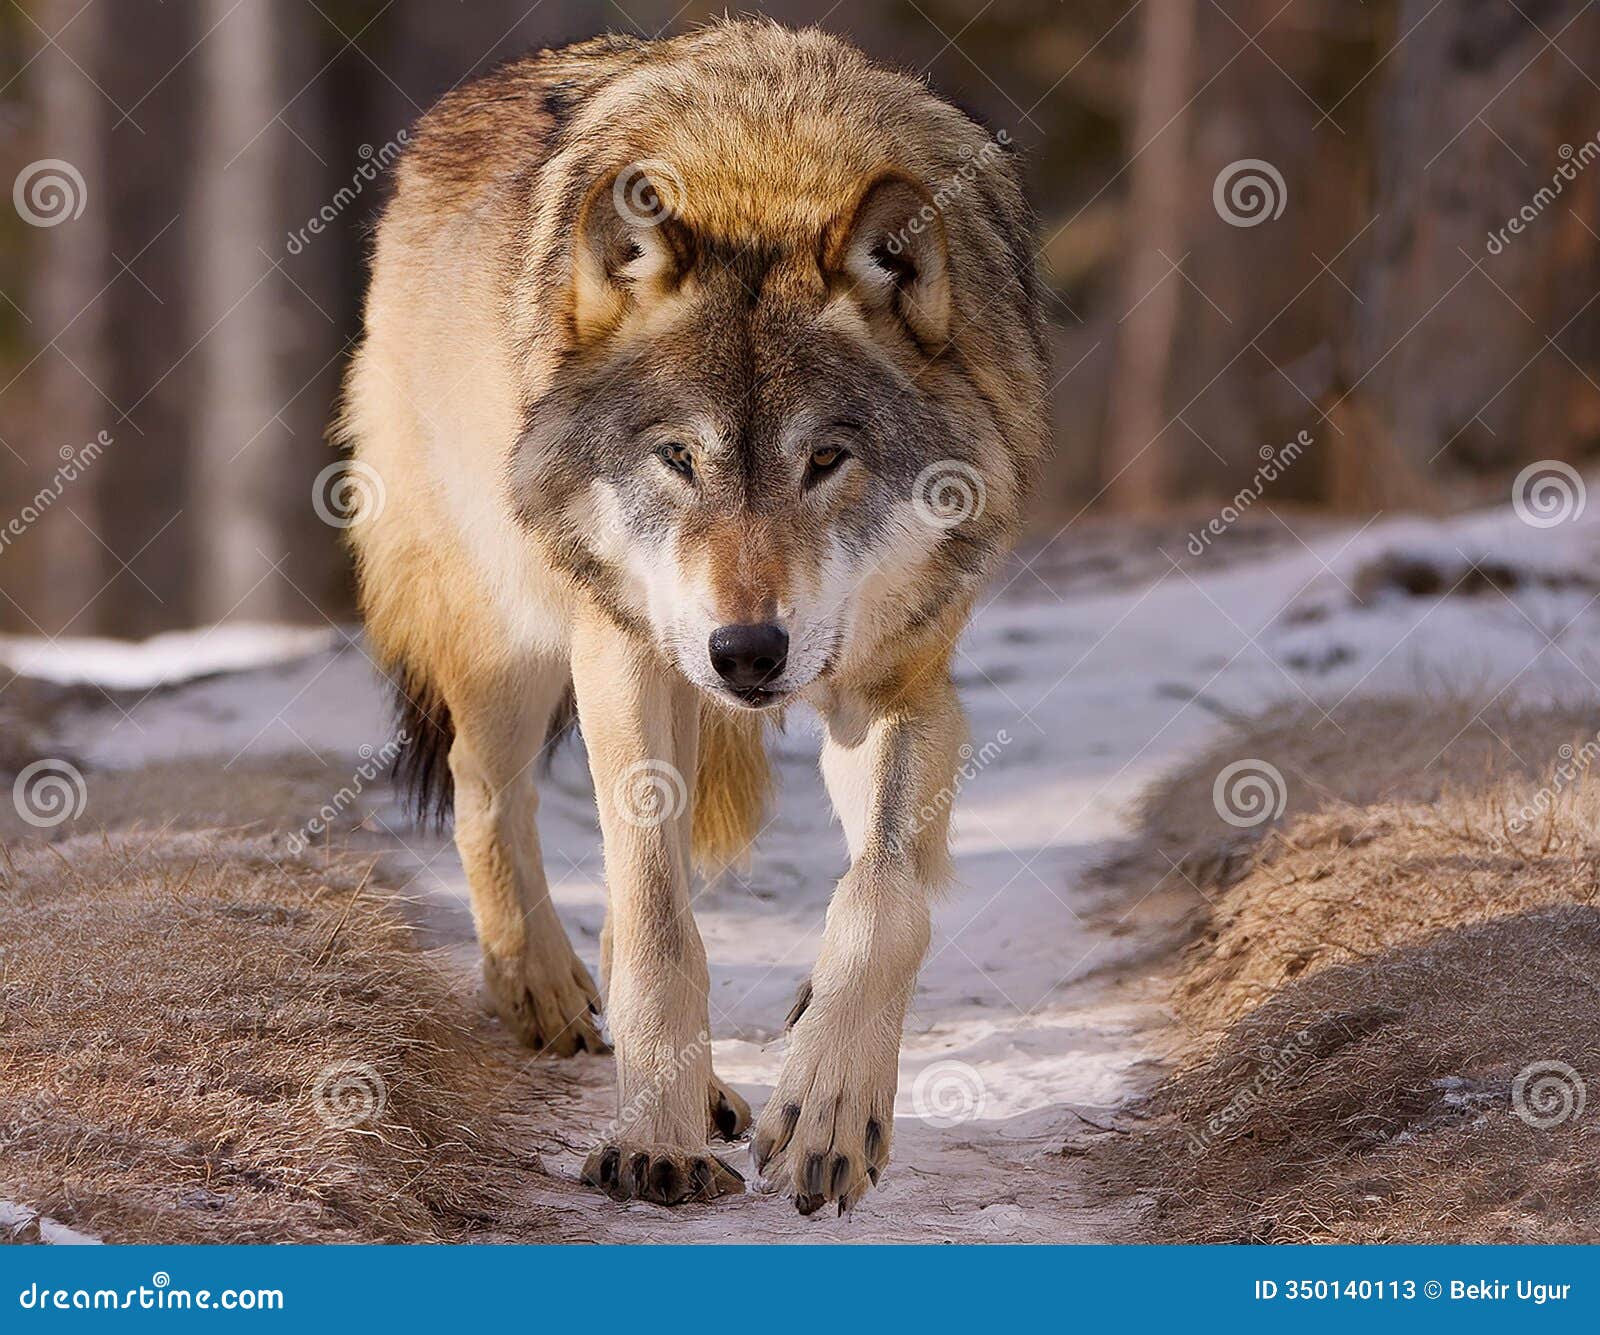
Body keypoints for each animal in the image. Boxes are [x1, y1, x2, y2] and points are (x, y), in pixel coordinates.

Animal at [339, 18, 1046, 1215]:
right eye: (677, 457)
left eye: (826, 460)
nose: (746, 652)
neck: (763, 176)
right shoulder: (626, 658)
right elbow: (661, 932)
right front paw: (654, 1142)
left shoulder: (897, 683)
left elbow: (881, 898)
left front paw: (828, 1100)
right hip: (518, 627)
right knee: (488, 791)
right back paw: (542, 988)